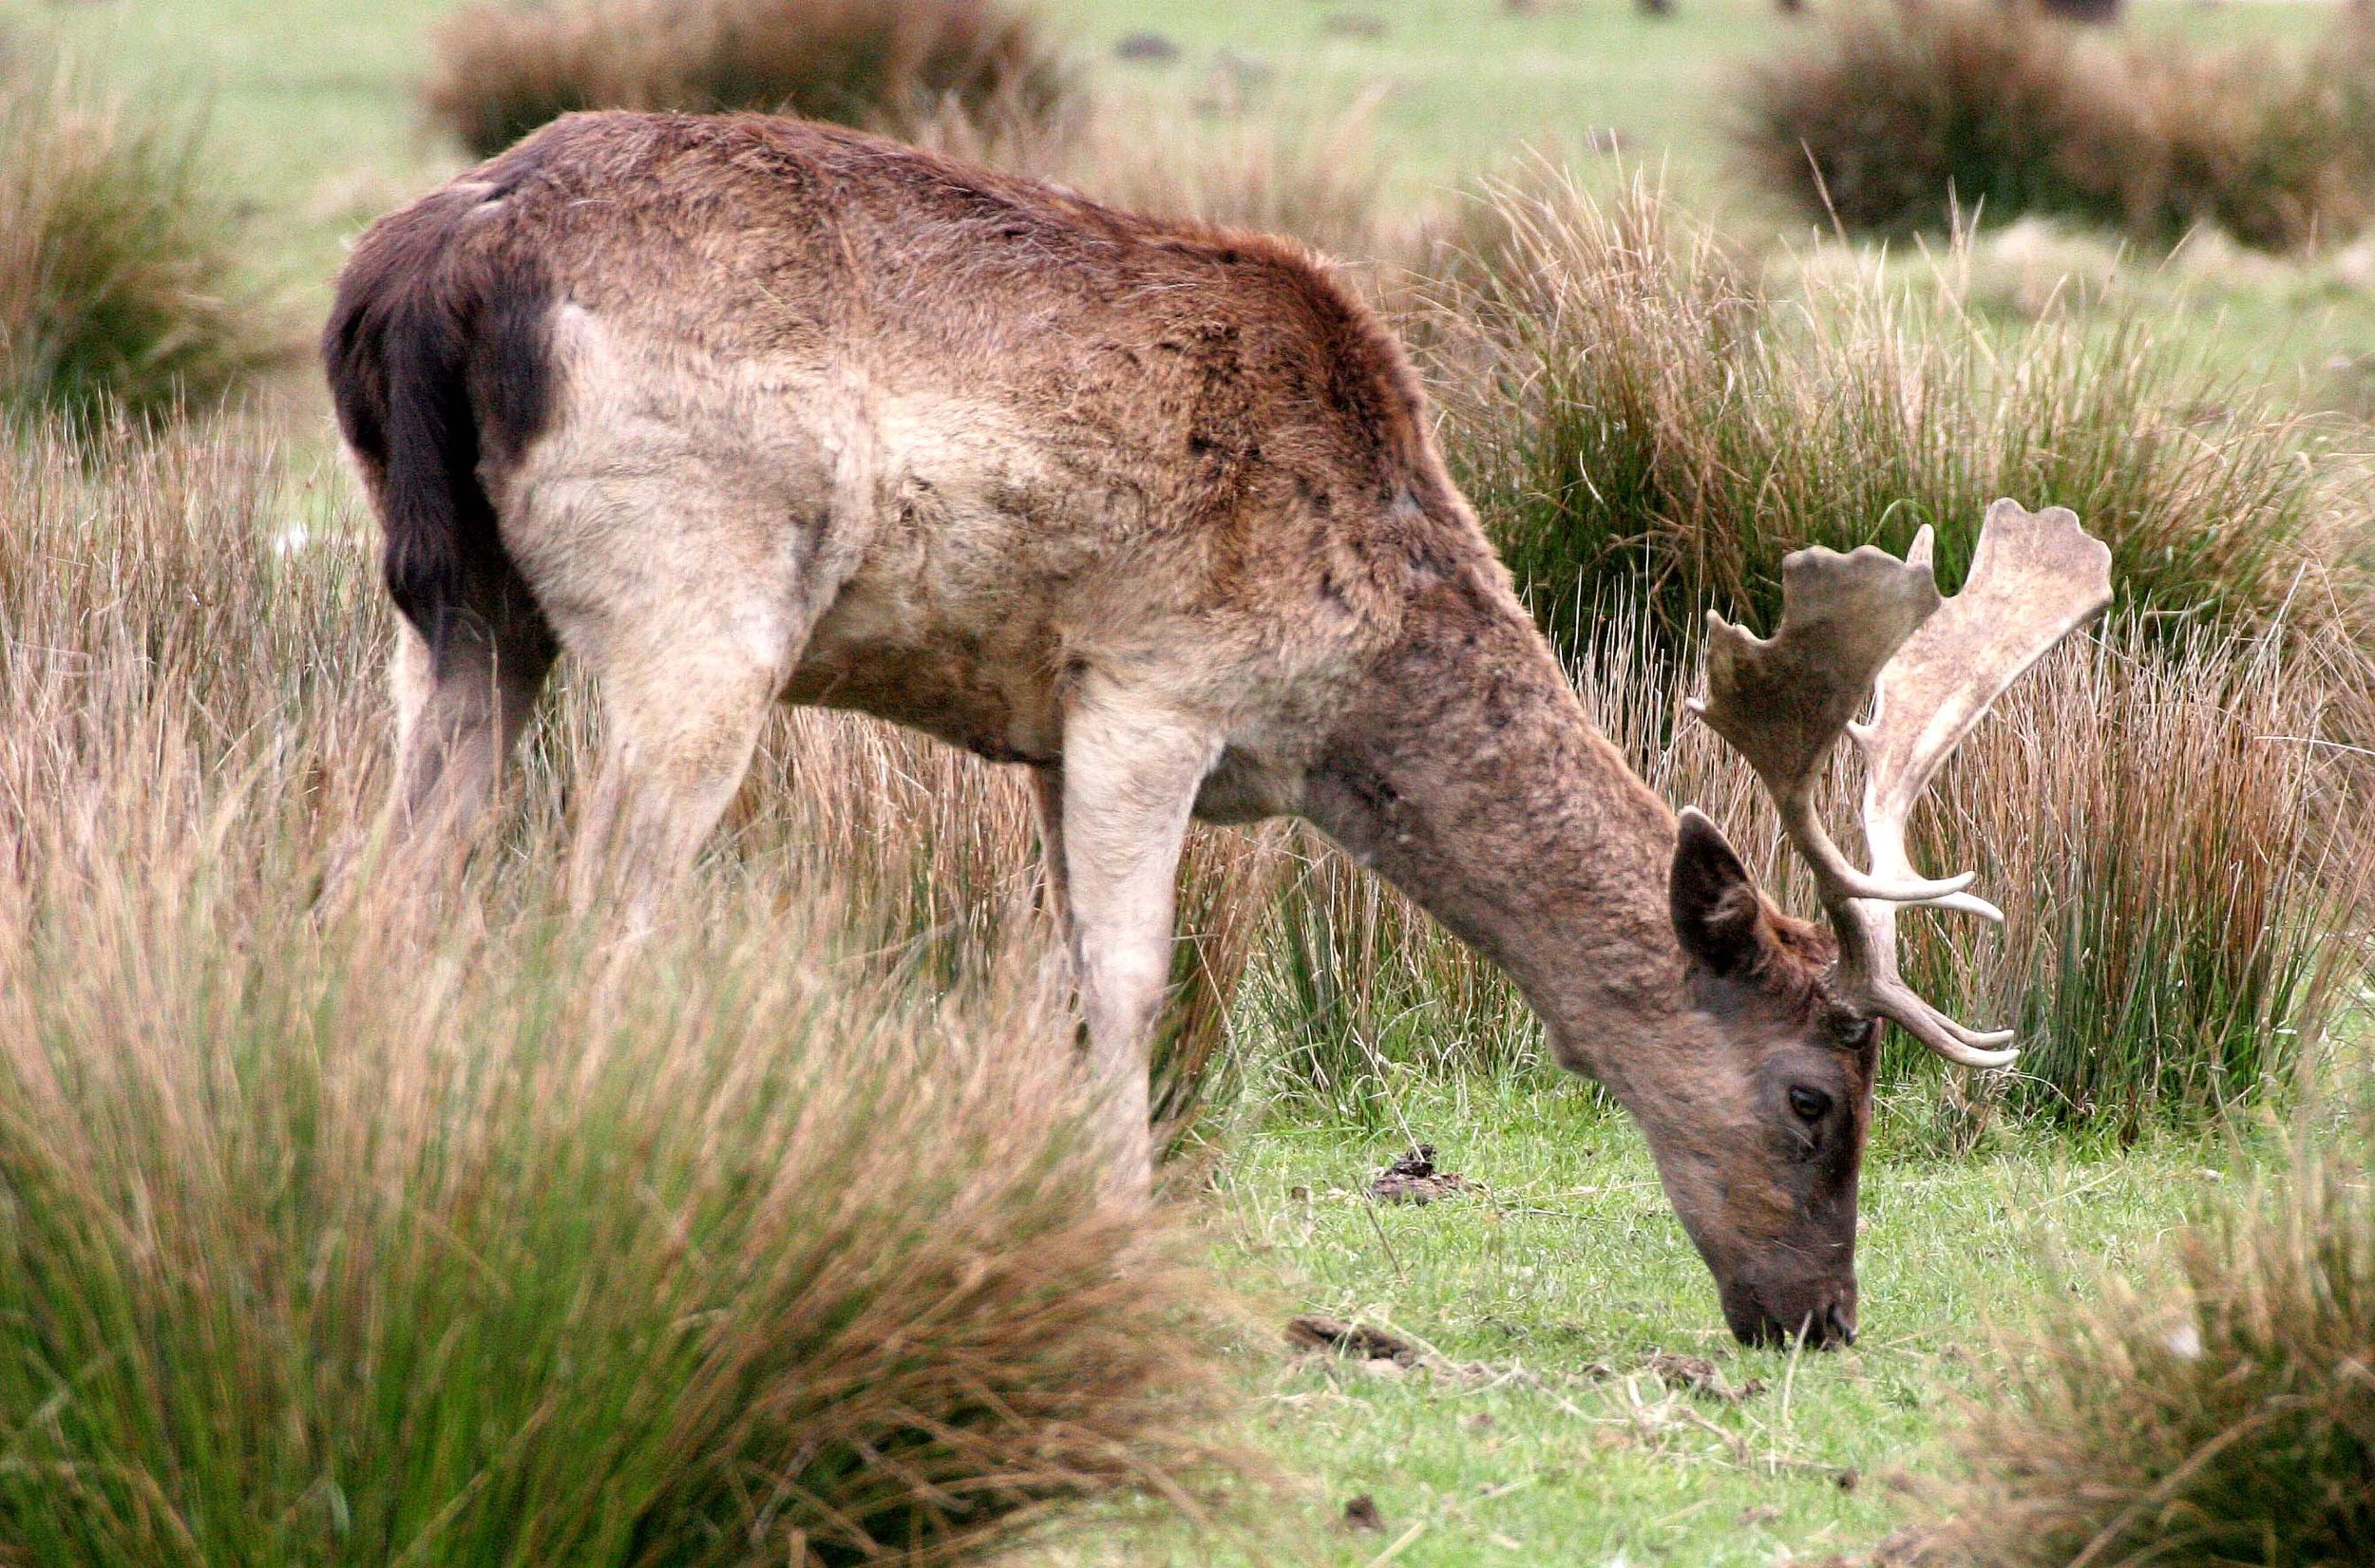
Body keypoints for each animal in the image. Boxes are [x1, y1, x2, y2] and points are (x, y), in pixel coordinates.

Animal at [323, 111, 2111, 1348]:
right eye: (1815, 1095)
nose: (1822, 1319)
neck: (1343, 686)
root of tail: (415, 276)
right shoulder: (1148, 684)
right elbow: (1129, 984)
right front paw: (1120, 1232)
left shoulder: (1041, 732)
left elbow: (1056, 978)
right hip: (696, 590)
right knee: (597, 900)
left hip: (454, 605)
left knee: (402, 877)